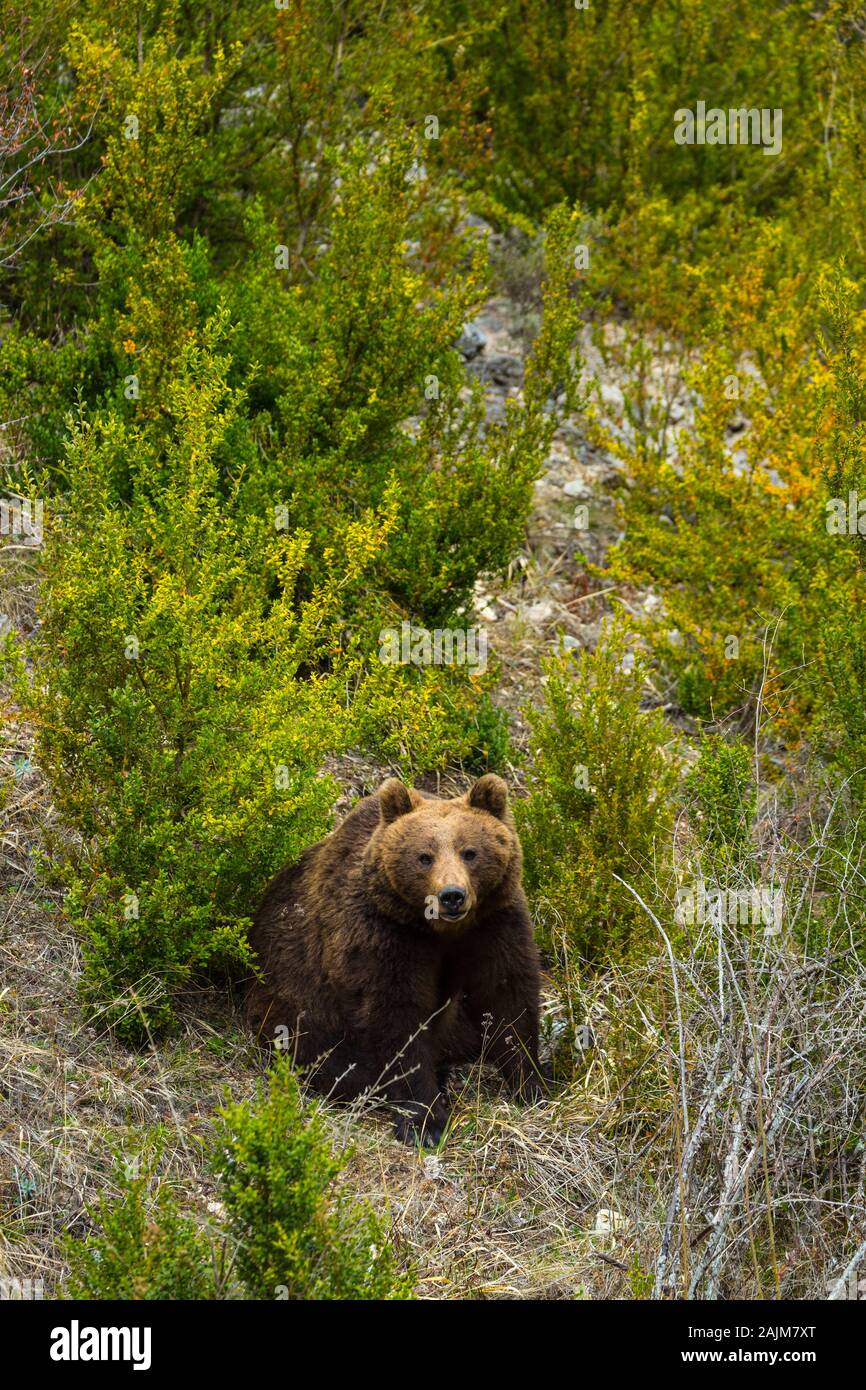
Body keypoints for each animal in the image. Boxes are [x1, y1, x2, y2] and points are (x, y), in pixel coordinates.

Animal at [245, 773, 542, 1144]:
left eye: (470, 852)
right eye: (424, 856)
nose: (452, 896)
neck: (441, 931)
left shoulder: (494, 924)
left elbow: (508, 997)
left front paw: (531, 1085)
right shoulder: (385, 935)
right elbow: (397, 1018)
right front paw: (425, 1121)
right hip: (291, 998)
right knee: (324, 1055)